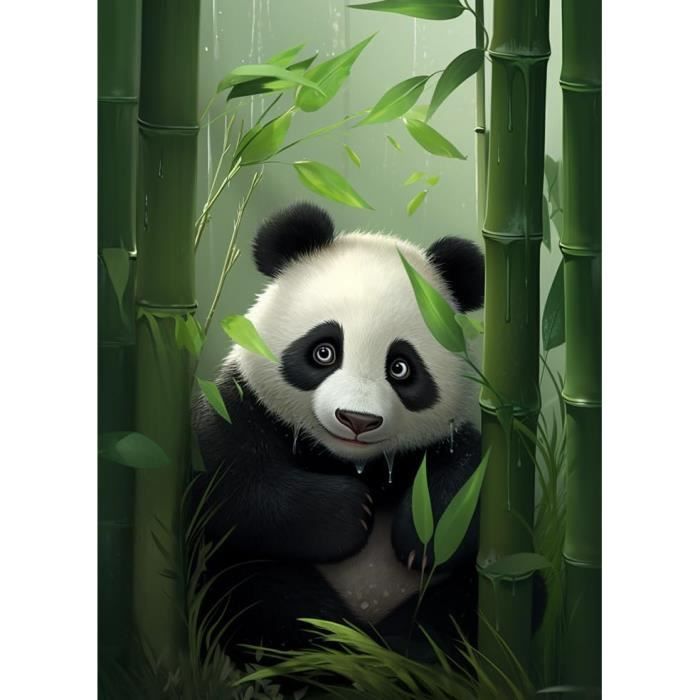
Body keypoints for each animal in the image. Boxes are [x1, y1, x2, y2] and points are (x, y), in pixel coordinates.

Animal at [192, 202, 486, 660]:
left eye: (400, 367)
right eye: (325, 351)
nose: (357, 420)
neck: (348, 461)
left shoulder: (439, 442)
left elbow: (472, 477)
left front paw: (423, 535)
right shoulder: (240, 406)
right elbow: (232, 487)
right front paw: (350, 513)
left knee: (458, 608)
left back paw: (404, 653)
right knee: (268, 601)